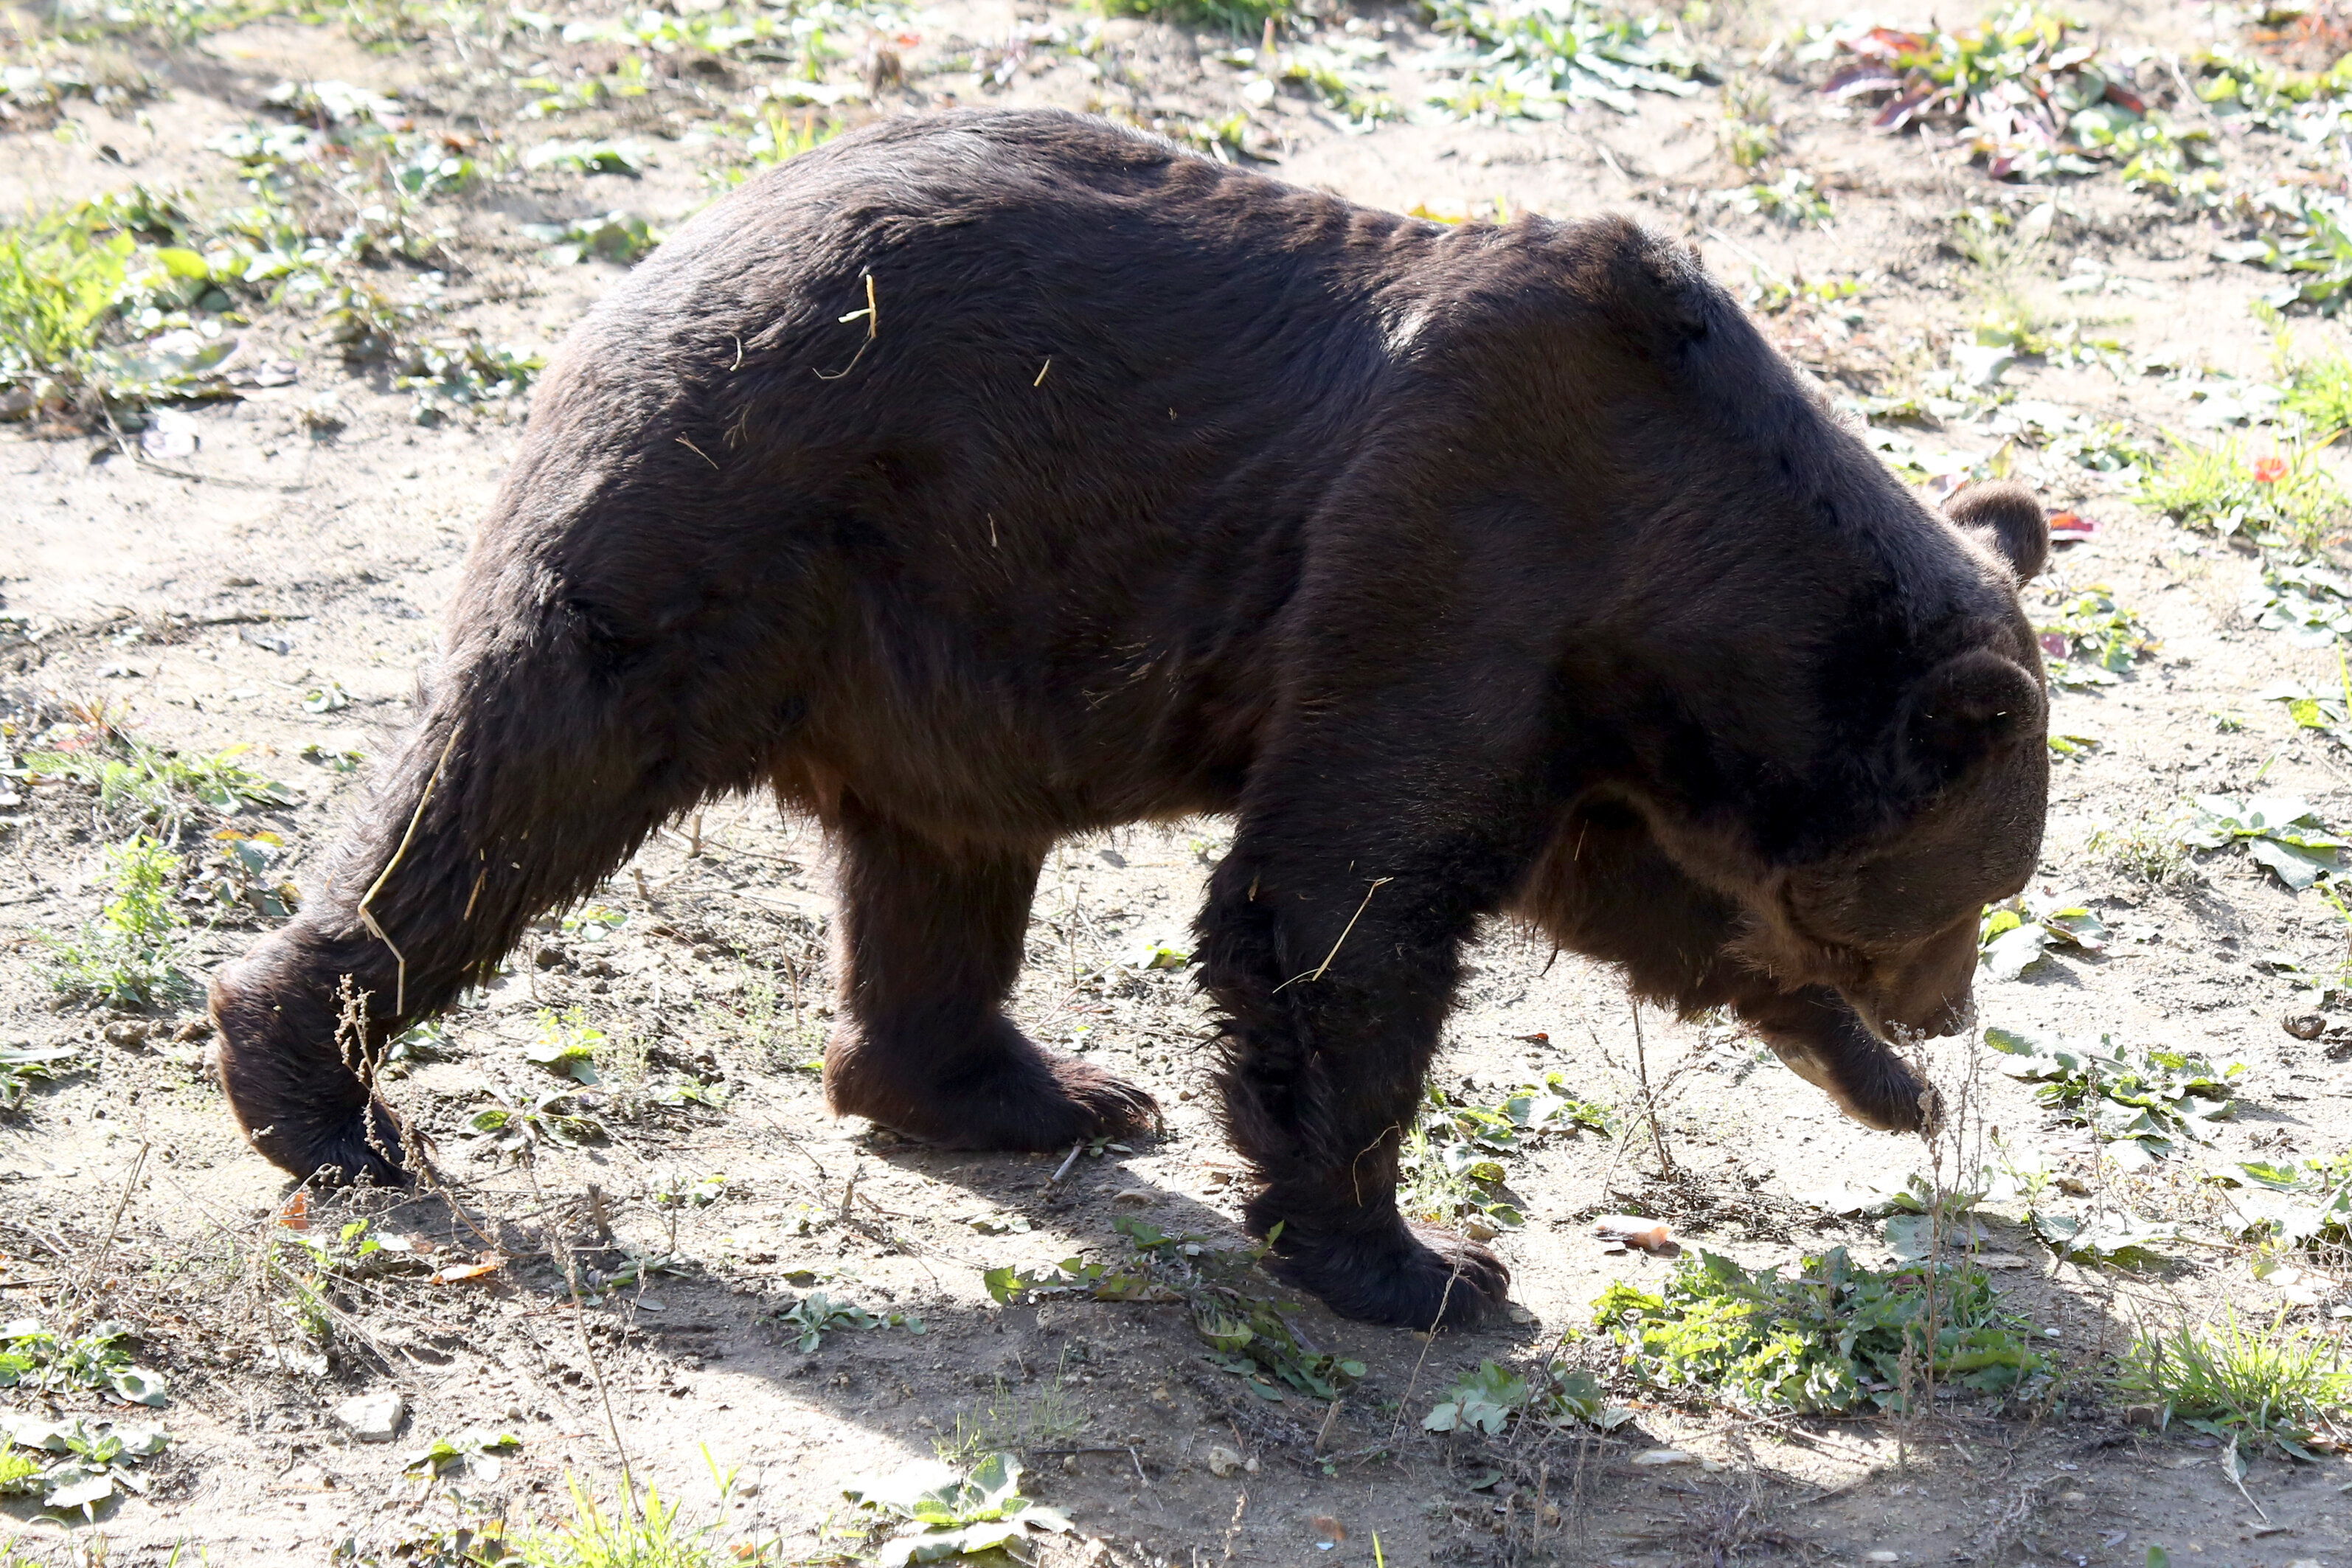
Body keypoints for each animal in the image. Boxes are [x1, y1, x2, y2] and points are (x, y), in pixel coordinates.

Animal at [209, 107, 2050, 1333]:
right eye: (1978, 888)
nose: (1950, 1004)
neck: (1681, 571)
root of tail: (673, 238)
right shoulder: (1450, 559)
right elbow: (1340, 904)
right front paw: (1425, 1264)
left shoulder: (1576, 720)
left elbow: (1617, 900)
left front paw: (1874, 1084)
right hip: (736, 516)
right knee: (515, 784)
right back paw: (321, 1094)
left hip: (935, 637)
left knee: (937, 866)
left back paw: (1033, 1089)